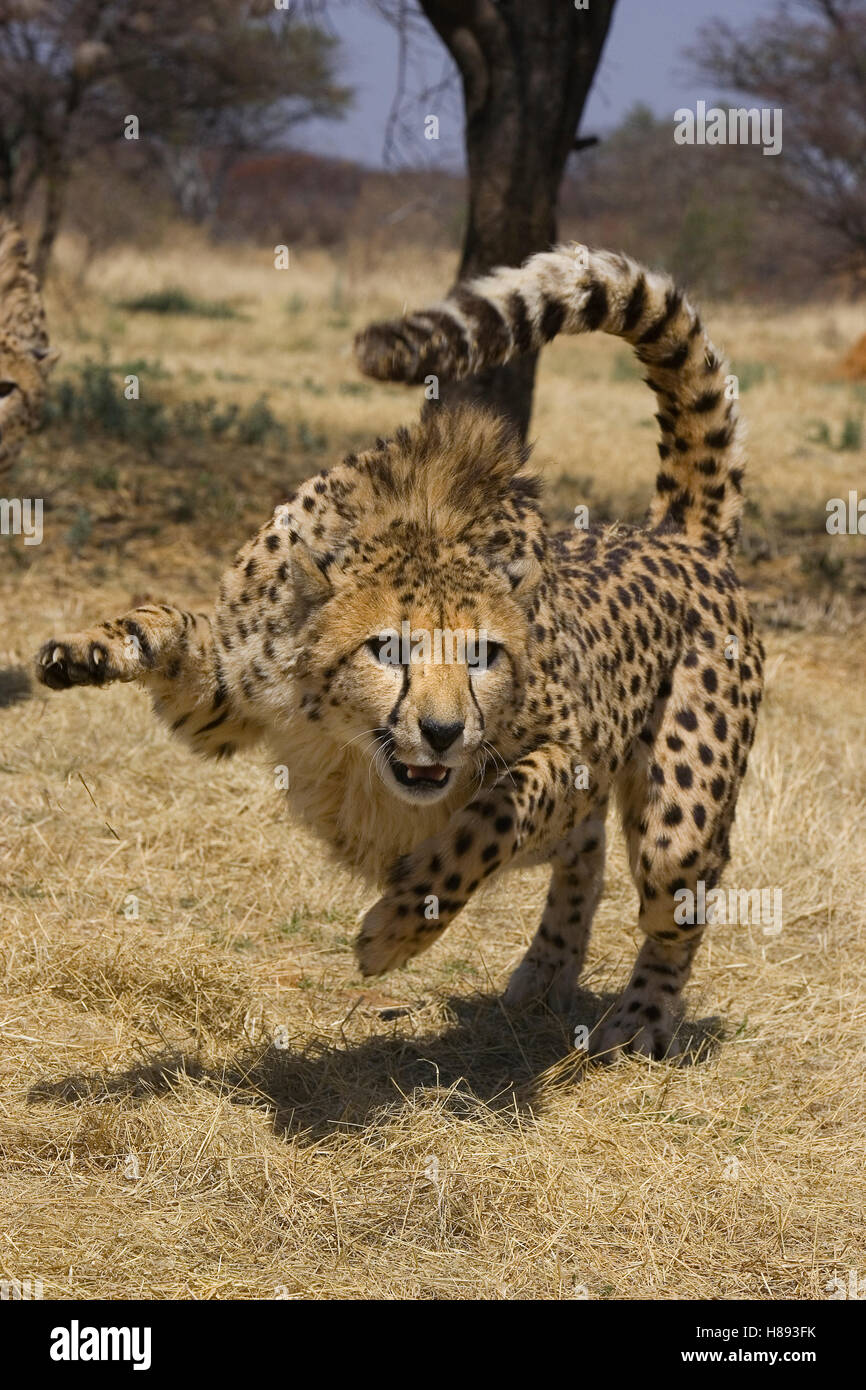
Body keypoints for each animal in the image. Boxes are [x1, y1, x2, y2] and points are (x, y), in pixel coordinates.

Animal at [34, 243, 764, 1061]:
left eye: (482, 656)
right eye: (386, 648)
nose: (442, 733)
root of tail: (678, 533)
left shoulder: (575, 747)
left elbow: (495, 812)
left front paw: (395, 931)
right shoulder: (232, 690)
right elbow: (164, 627)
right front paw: (85, 649)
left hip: (681, 814)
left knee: (668, 900)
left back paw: (641, 1020)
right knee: (584, 849)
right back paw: (546, 969)